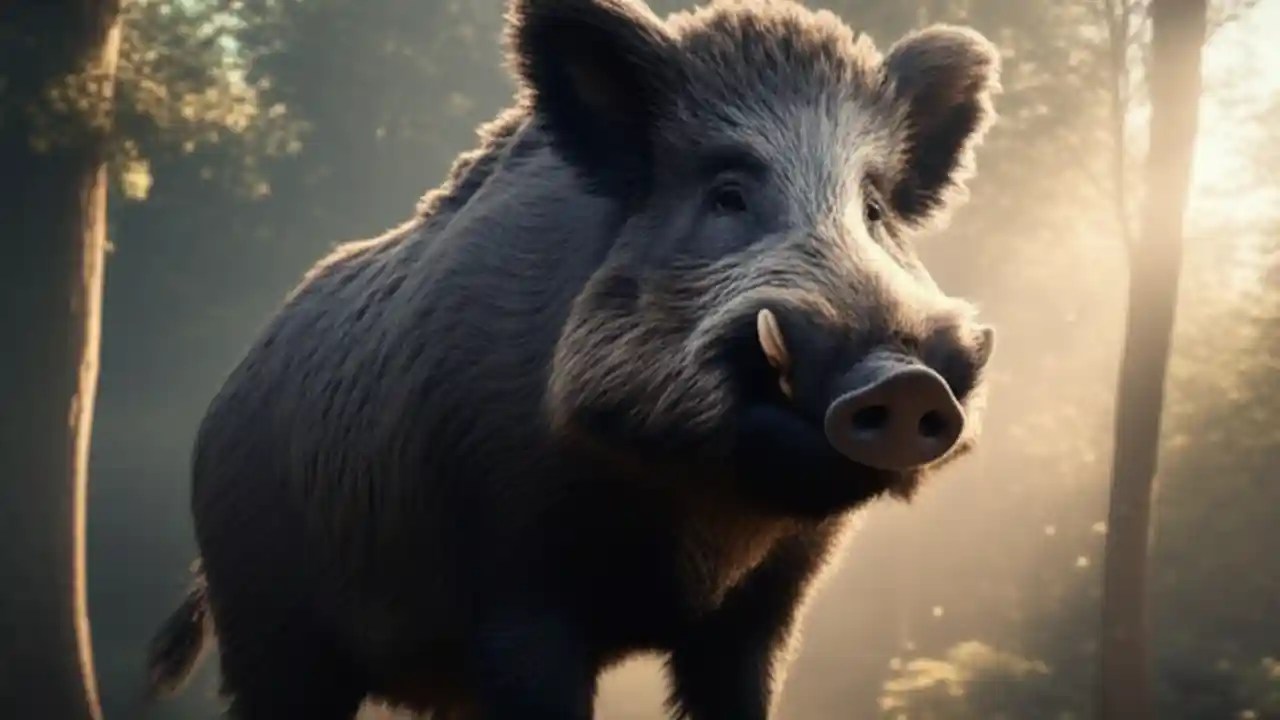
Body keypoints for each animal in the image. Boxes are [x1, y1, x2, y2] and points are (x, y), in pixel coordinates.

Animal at [145, 0, 1001, 718]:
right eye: (726, 194)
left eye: (875, 209)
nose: (904, 378)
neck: (697, 503)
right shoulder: (515, 582)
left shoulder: (762, 610)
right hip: (267, 623)